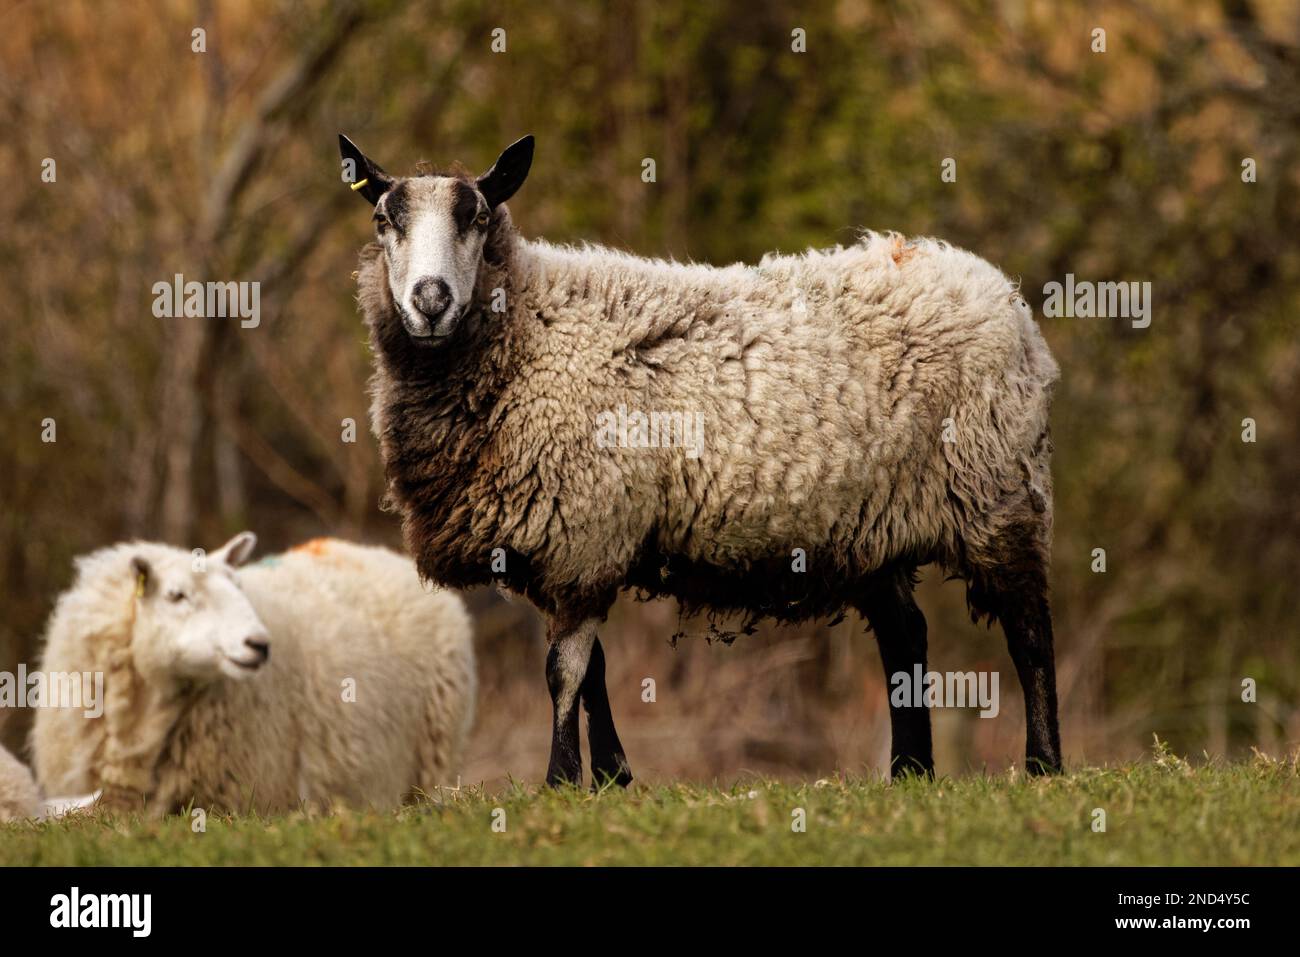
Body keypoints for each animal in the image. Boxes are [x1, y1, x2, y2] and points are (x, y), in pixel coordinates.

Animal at [339, 133, 1062, 787]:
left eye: (479, 218)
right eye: (384, 220)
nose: (431, 300)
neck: (527, 331)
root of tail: (989, 284)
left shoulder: (584, 536)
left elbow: (563, 672)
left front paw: (561, 780)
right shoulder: (582, 541)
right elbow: (593, 670)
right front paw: (613, 778)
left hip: (998, 492)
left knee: (1028, 630)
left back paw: (1043, 764)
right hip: (871, 526)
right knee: (906, 635)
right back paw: (911, 771)